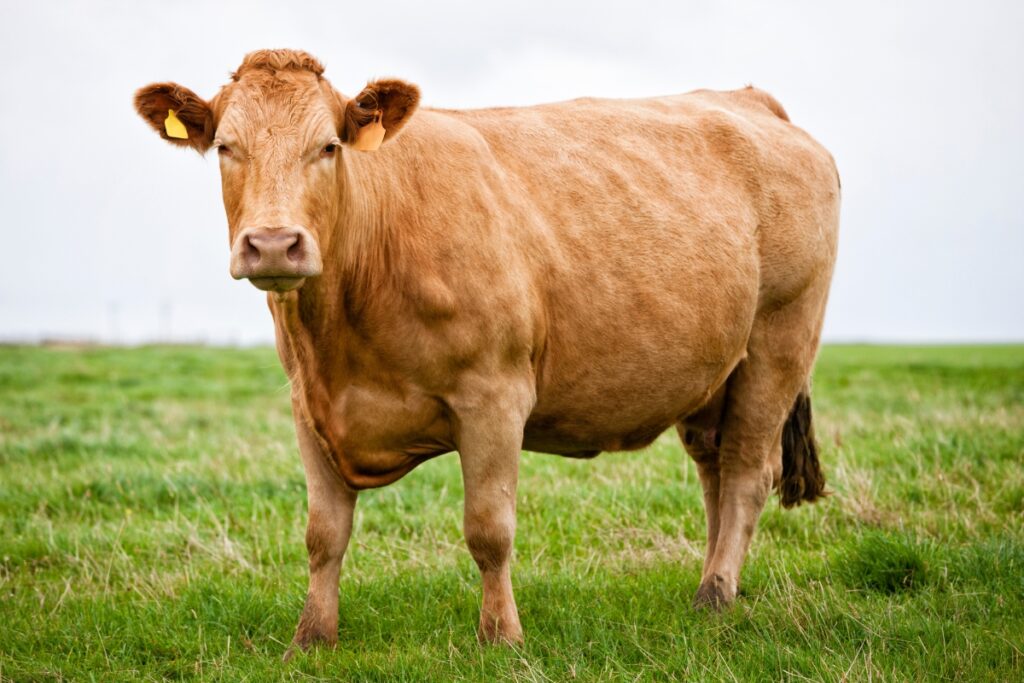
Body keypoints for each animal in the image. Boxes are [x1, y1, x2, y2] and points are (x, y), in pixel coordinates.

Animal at [134, 49, 839, 658]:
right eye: (227, 148)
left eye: (328, 146)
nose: (275, 244)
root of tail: (749, 99)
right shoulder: (310, 405)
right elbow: (323, 535)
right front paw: (311, 639)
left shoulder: (495, 396)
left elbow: (488, 529)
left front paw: (501, 637)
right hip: (713, 373)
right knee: (713, 469)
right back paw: (715, 588)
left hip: (779, 341)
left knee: (746, 471)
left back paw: (716, 594)